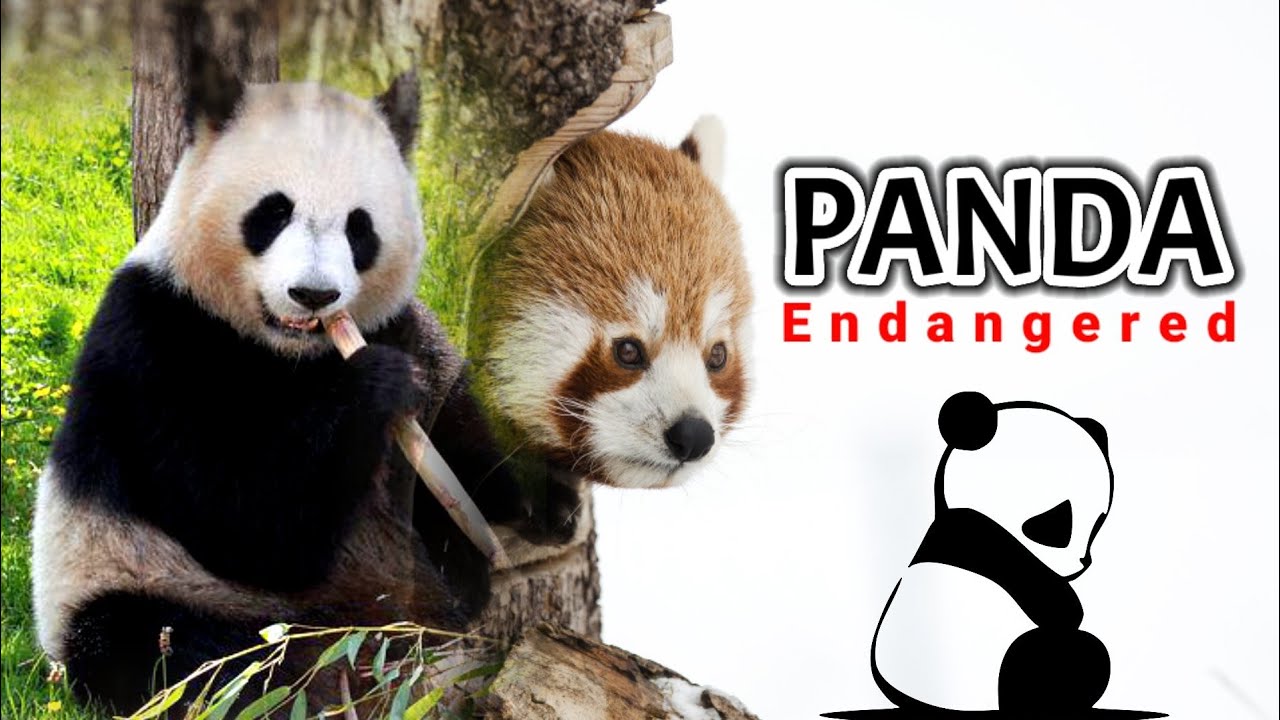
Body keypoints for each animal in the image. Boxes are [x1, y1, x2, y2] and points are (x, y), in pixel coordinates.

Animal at [30, 55, 525, 713]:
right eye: (273, 212)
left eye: (360, 227)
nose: (313, 294)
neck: (292, 353)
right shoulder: (155, 342)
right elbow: (247, 524)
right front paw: (375, 387)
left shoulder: (405, 325)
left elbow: (467, 436)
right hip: (133, 578)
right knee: (167, 653)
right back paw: (307, 682)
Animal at [871, 391, 1114, 713]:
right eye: (1055, 525)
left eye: (1098, 524)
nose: (1082, 562)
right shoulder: (985, 539)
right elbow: (1058, 606)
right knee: (1059, 652)